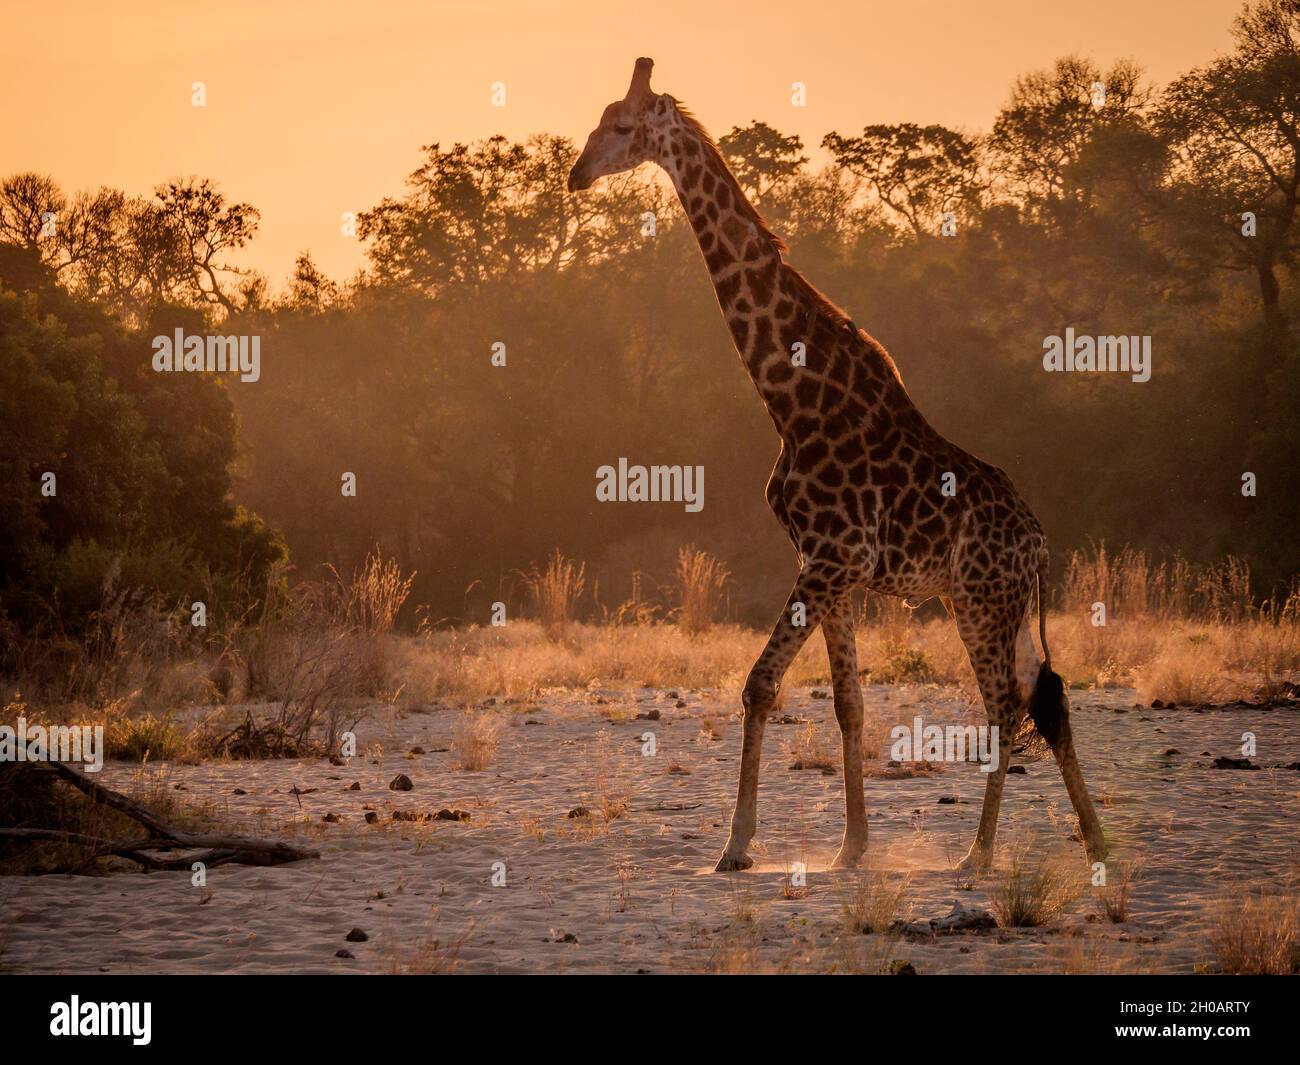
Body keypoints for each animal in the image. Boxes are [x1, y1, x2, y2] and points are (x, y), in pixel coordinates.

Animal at [569, 58, 1108, 873]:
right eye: (599, 120)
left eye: (623, 127)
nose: (576, 175)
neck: (789, 396)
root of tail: (1040, 544)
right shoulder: (835, 567)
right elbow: (849, 701)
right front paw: (852, 847)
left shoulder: (831, 556)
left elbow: (760, 685)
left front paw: (736, 844)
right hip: (996, 602)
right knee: (1050, 698)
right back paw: (1095, 841)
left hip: (981, 599)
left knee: (1006, 706)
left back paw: (978, 855)